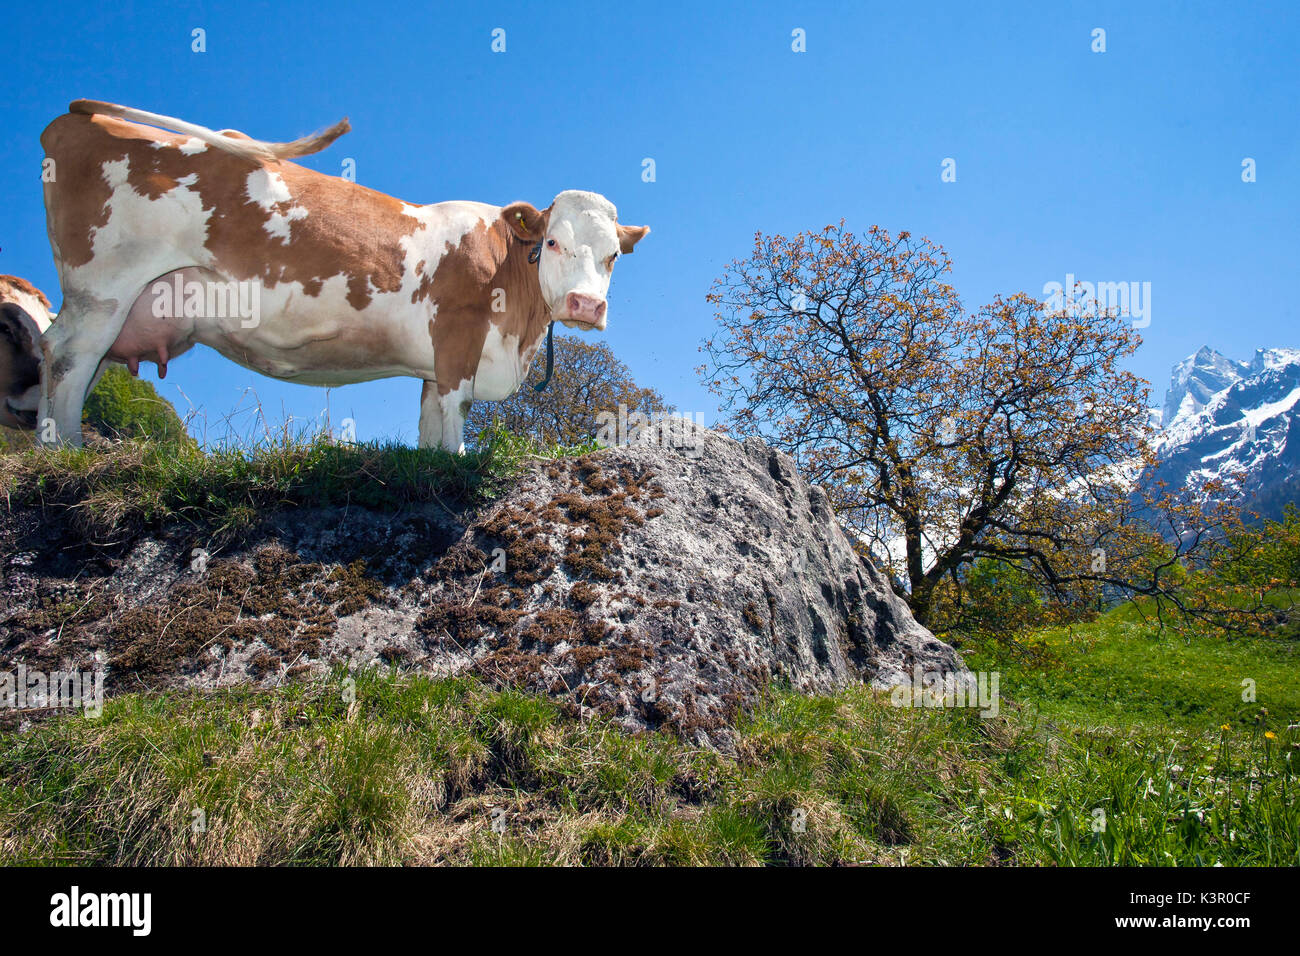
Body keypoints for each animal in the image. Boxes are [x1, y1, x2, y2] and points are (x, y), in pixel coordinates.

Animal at [31, 100, 649, 450]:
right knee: (66, 354)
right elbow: (453, 424)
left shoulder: (435, 365)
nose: (585, 306)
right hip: (103, 289)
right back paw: (65, 448)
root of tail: (77, 122)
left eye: (613, 256)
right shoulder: (457, 337)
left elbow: (430, 430)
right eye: (553, 241)